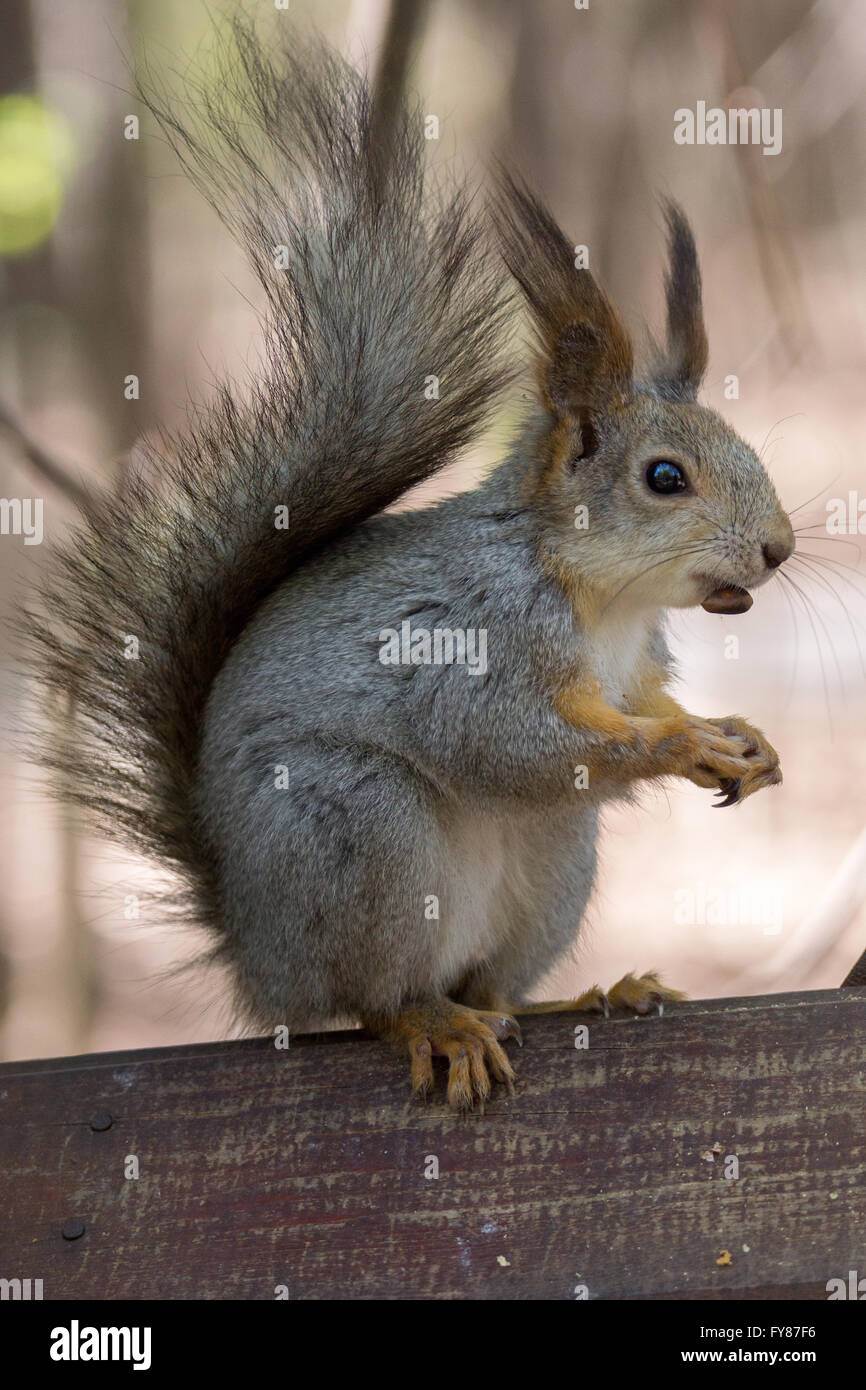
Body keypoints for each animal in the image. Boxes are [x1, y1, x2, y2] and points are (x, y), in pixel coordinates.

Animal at [28, 15, 794, 1110]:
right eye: (663, 477)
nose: (778, 549)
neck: (600, 599)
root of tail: (255, 958)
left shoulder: (632, 666)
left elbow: (636, 709)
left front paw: (738, 735)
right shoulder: (476, 643)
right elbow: (504, 743)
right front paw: (680, 747)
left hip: (554, 860)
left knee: (495, 978)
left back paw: (583, 998)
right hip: (356, 829)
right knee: (375, 998)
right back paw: (431, 1021)